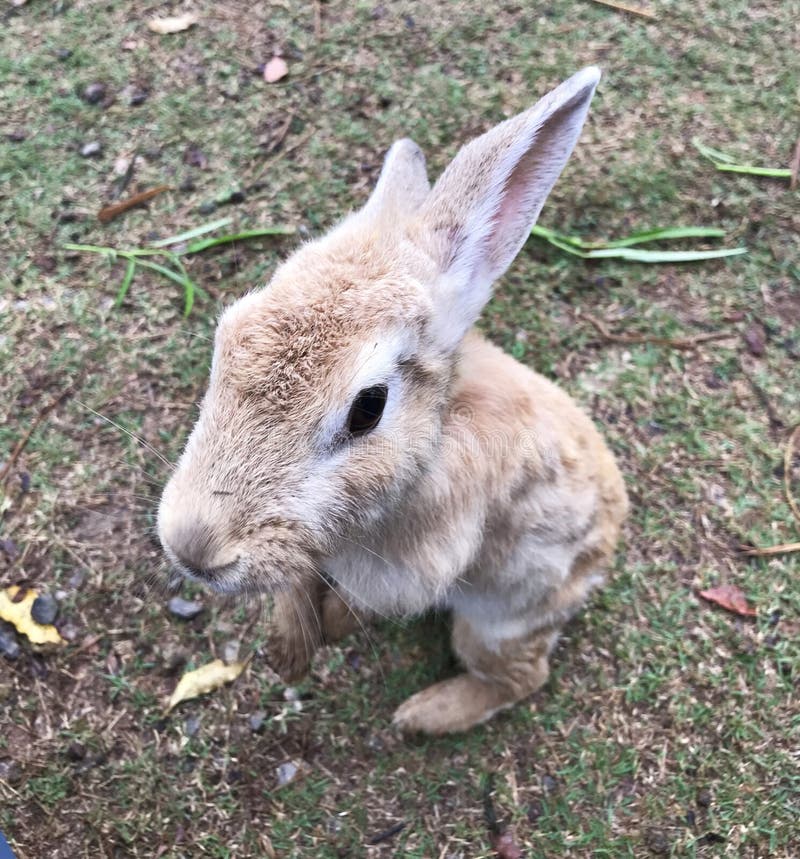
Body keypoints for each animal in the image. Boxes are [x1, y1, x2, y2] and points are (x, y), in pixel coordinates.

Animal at [157, 66, 629, 734]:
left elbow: (363, 605)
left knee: (521, 676)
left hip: (502, 618)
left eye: (368, 408)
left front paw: (312, 642)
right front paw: (288, 650)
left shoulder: (421, 561)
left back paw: (424, 715)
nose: (193, 550)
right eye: (226, 335)